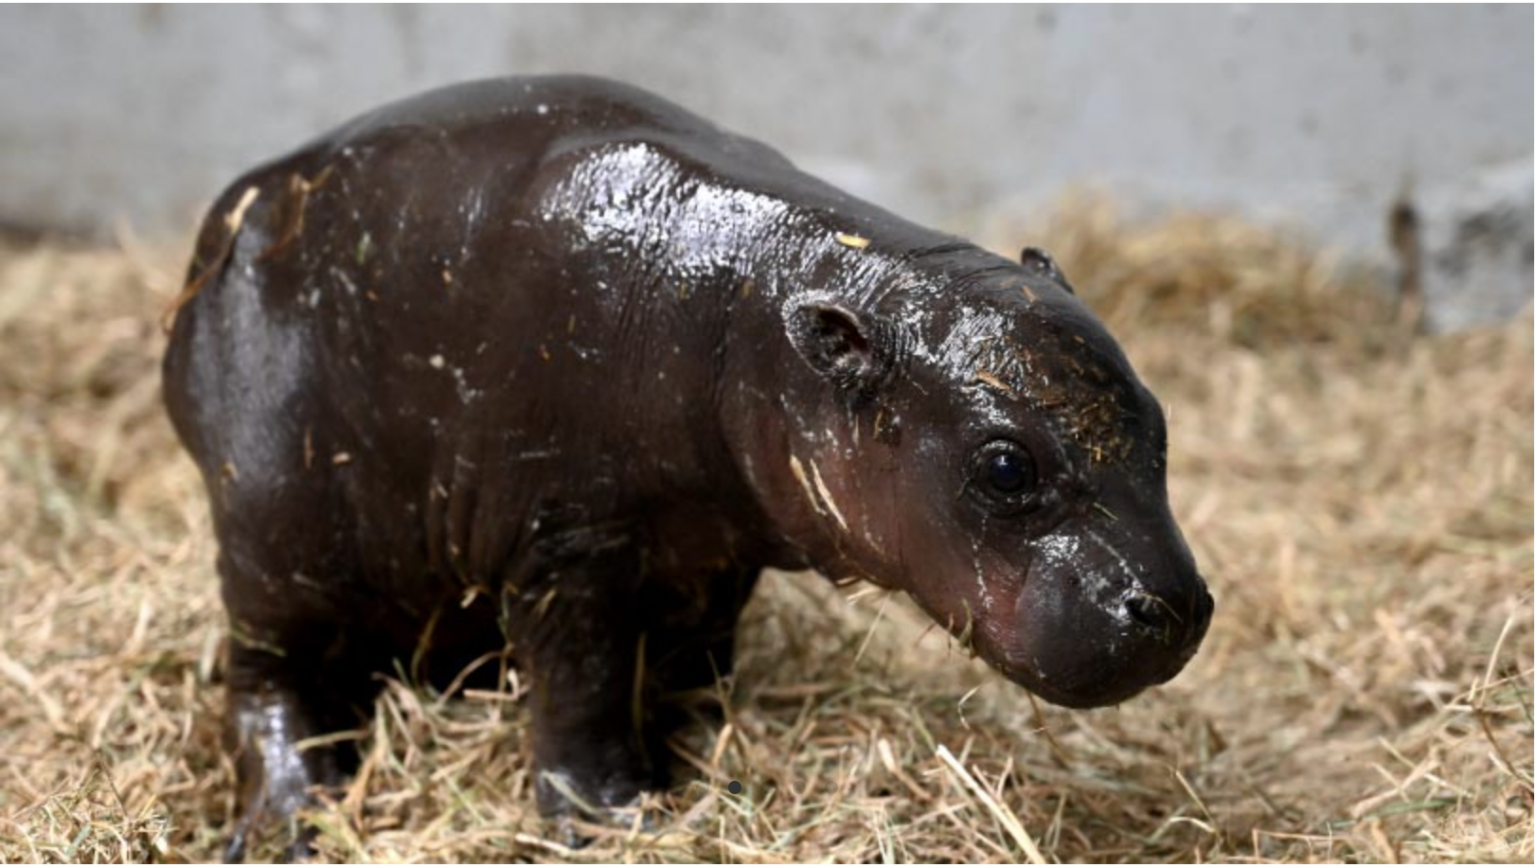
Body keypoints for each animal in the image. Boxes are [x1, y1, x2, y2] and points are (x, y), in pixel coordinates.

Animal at [161, 75, 1212, 858]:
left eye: (1160, 422)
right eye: (1003, 466)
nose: (1178, 605)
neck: (766, 307)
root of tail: (220, 226)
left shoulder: (713, 546)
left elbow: (692, 661)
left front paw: (709, 760)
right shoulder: (568, 549)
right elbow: (582, 685)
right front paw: (611, 819)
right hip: (273, 533)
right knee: (264, 680)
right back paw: (293, 818)